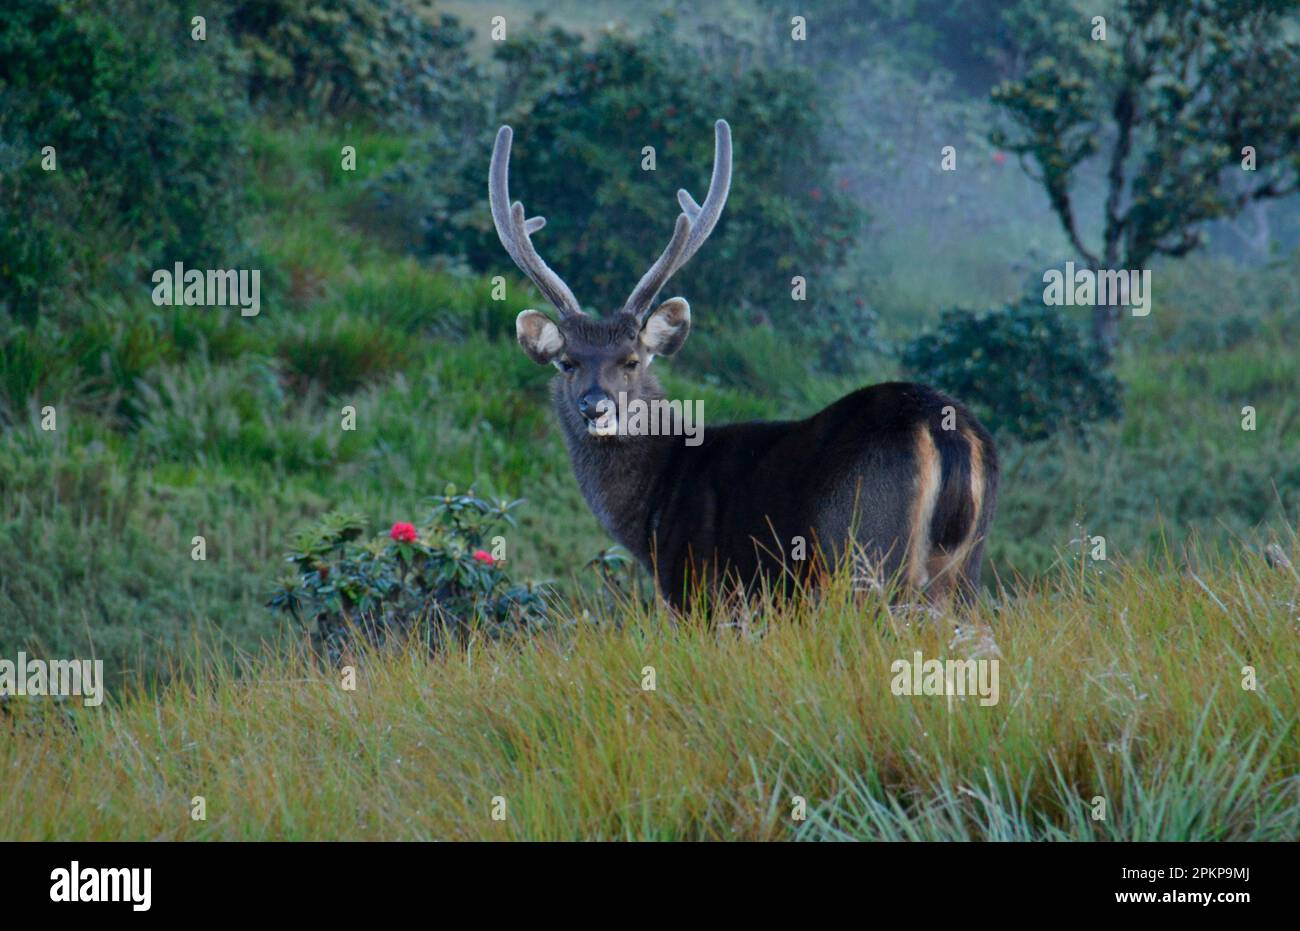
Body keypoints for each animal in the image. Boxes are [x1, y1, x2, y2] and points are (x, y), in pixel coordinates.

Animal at [490, 120, 998, 611]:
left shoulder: (699, 589)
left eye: (631, 361)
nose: (595, 406)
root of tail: (944, 428)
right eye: (567, 363)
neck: (655, 502)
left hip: (868, 552)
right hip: (963, 570)